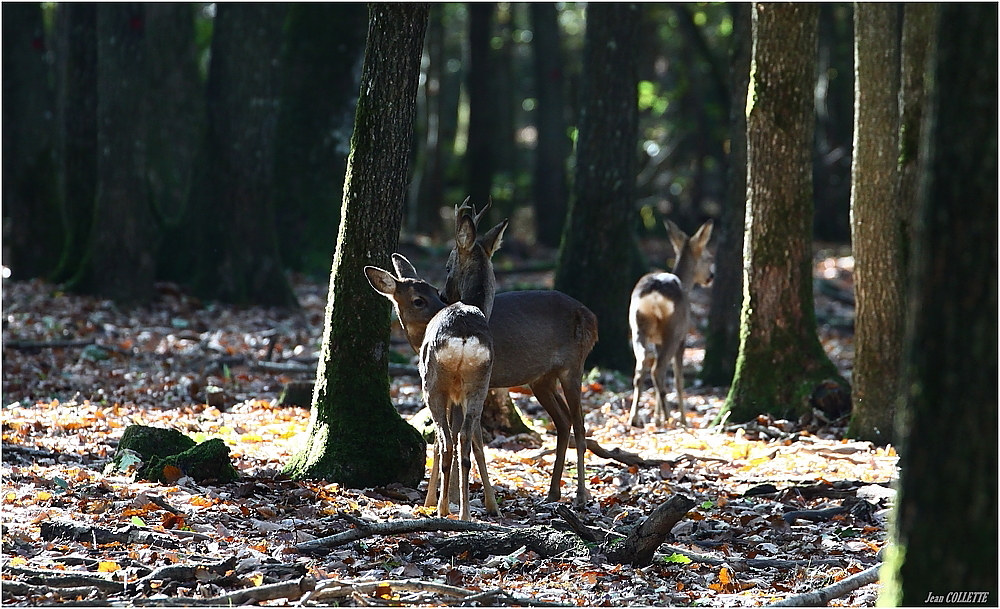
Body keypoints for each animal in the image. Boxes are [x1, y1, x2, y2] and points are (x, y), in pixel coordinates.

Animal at [366, 254, 498, 520]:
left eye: (432, 294)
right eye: (422, 296)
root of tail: (463, 335)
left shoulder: (443, 393)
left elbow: (437, 443)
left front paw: (429, 500)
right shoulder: (459, 397)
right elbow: (476, 442)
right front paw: (491, 505)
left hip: (433, 383)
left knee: (446, 440)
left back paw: (441, 508)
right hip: (478, 382)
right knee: (463, 440)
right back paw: (465, 514)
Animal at [444, 201, 596, 508]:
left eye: (447, 266)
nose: (442, 294)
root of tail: (592, 320)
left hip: (573, 367)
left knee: (580, 425)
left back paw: (580, 497)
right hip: (542, 379)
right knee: (563, 421)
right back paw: (553, 492)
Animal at [628, 220, 716, 428]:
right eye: (708, 257)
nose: (711, 277)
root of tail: (655, 291)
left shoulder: (657, 340)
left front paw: (656, 417)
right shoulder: (683, 337)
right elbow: (678, 379)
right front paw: (682, 420)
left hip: (638, 326)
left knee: (642, 365)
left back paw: (635, 418)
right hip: (673, 330)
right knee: (658, 370)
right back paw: (669, 419)